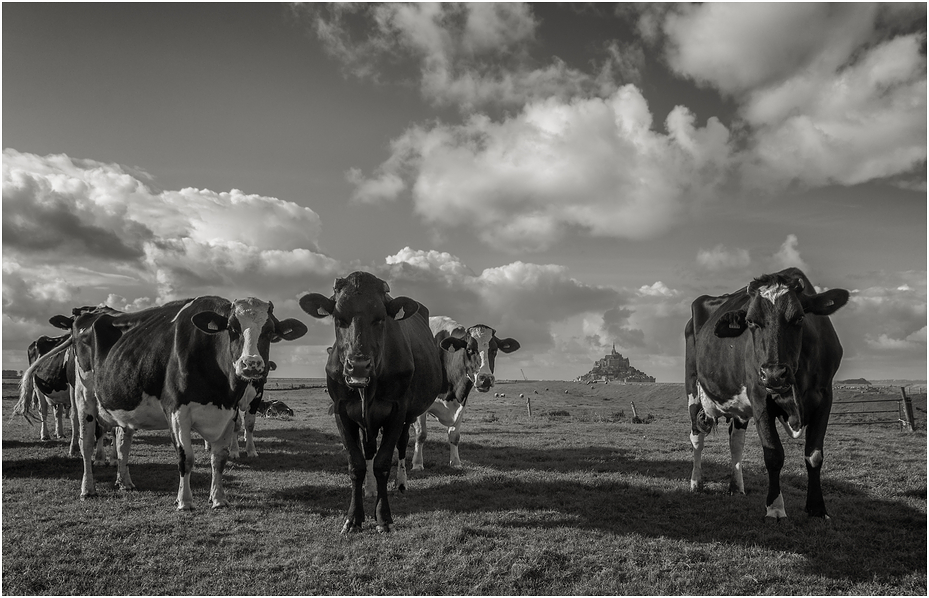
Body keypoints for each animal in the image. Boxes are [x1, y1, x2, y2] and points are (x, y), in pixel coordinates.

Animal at [28, 296, 306, 508]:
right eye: (232, 328)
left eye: (270, 332)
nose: (251, 365)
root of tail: (90, 316)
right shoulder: (177, 411)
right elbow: (186, 457)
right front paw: (185, 501)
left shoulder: (229, 413)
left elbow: (220, 458)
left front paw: (218, 499)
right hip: (83, 396)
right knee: (85, 442)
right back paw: (88, 488)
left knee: (123, 443)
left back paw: (125, 482)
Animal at [300, 271, 443, 533]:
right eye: (339, 317)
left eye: (380, 318)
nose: (358, 365)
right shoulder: (342, 412)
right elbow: (356, 464)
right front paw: (353, 517)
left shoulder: (397, 410)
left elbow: (382, 463)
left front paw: (383, 518)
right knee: (368, 450)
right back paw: (369, 489)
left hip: (407, 415)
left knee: (402, 444)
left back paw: (401, 483)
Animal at [411, 317, 519, 470]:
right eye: (469, 349)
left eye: (494, 350)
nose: (486, 379)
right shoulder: (421, 402)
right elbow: (421, 434)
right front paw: (417, 464)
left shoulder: (462, 403)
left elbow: (454, 436)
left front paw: (456, 462)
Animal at [685, 267, 849, 521]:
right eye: (751, 321)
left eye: (799, 318)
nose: (774, 374)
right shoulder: (760, 397)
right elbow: (773, 455)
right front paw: (775, 508)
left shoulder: (824, 397)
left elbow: (814, 455)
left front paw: (817, 508)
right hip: (693, 390)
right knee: (697, 438)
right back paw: (696, 482)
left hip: (739, 407)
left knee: (736, 442)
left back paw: (736, 487)